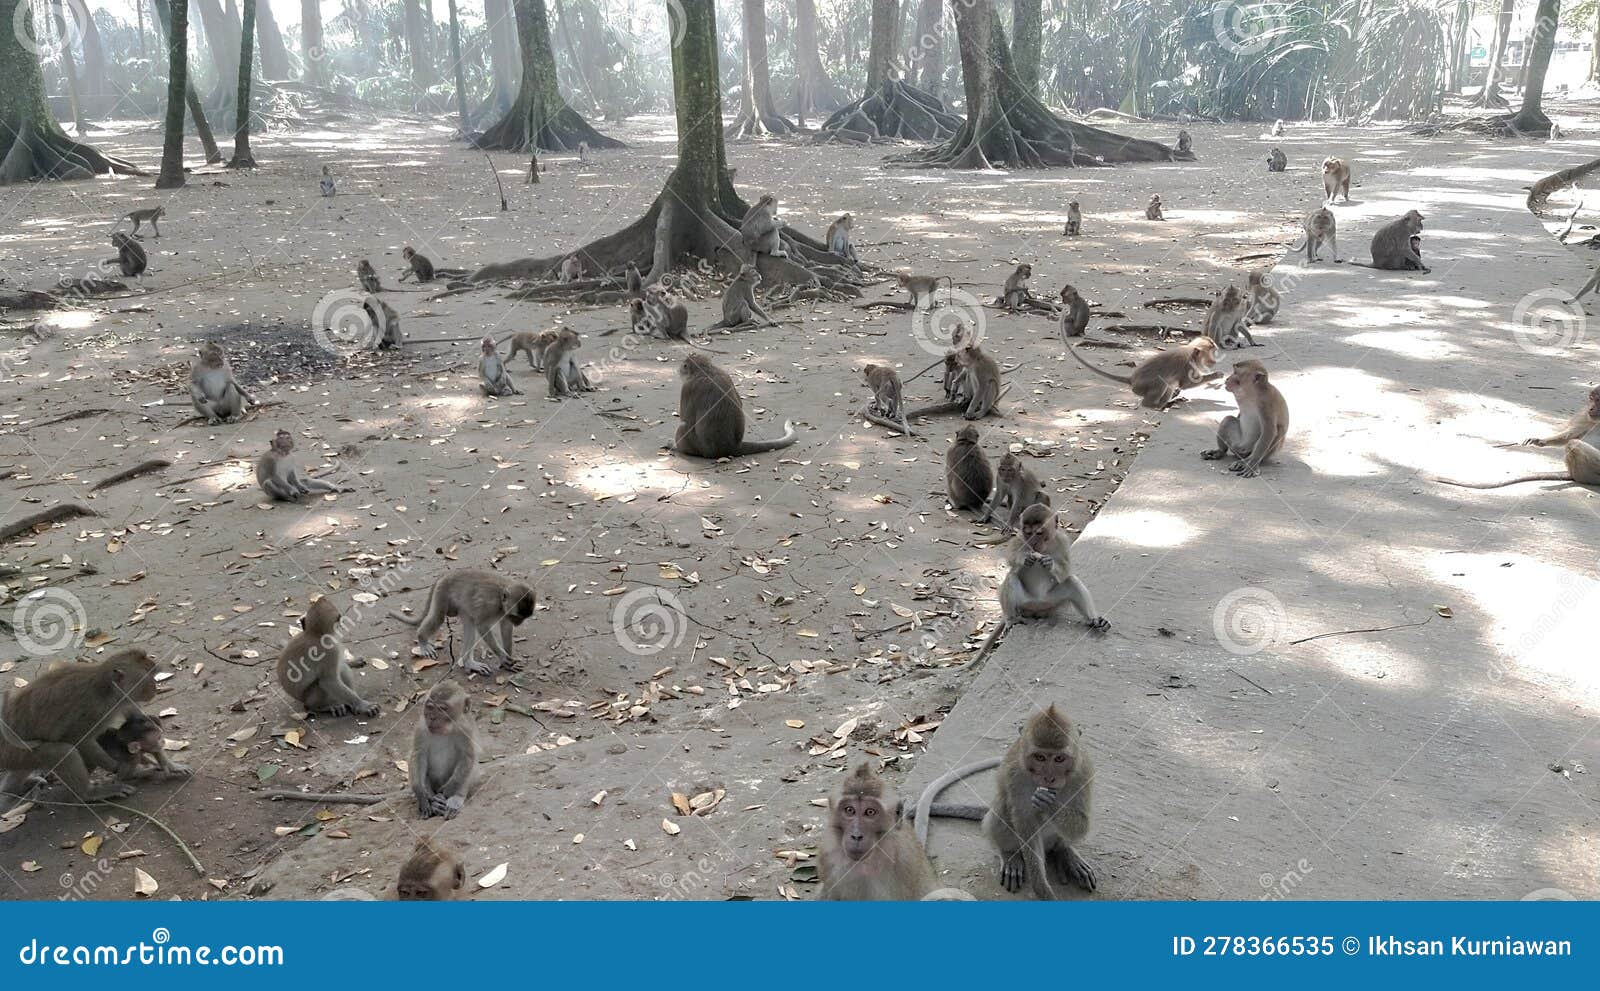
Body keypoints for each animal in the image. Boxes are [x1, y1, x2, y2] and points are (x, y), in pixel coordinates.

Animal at [0, 650, 165, 804]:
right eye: (148, 677)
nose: (155, 687)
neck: (105, 688)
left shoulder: (119, 699)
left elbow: (130, 709)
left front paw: (159, 754)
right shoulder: (94, 709)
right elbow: (78, 739)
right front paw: (122, 767)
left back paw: (11, 789)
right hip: (16, 753)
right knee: (63, 752)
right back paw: (89, 793)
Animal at [387, 569, 537, 677]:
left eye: (522, 618)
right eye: (517, 617)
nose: (518, 623)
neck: (501, 598)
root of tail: (447, 575)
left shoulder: (505, 613)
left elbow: (505, 627)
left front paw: (508, 658)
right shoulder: (489, 606)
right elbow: (482, 626)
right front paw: (503, 657)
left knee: (470, 623)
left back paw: (468, 663)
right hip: (443, 592)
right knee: (439, 617)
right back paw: (422, 640)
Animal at [411, 681, 477, 820]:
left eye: (442, 709)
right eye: (430, 707)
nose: (432, 717)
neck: (445, 730)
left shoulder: (465, 729)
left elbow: (467, 757)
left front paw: (447, 792)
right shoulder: (421, 727)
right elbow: (418, 755)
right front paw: (422, 794)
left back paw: (454, 799)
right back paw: (434, 803)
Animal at [1069, 336, 1222, 410]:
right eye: (1211, 354)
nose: (1214, 361)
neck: (1191, 352)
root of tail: (1132, 379)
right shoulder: (1188, 366)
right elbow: (1187, 384)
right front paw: (1217, 375)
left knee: (1169, 385)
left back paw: (1168, 402)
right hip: (1142, 387)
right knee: (1161, 383)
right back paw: (1153, 406)